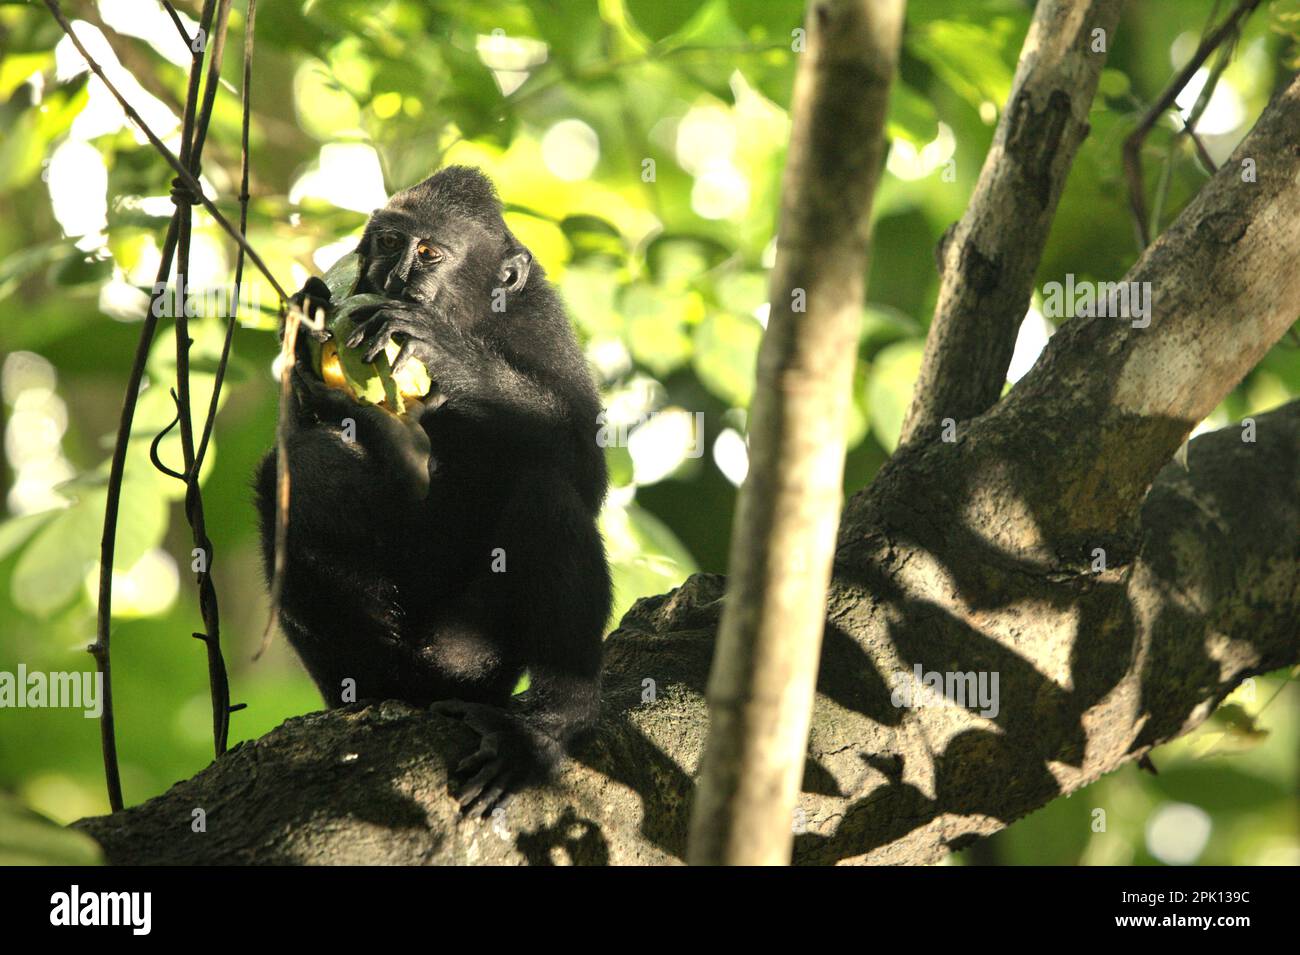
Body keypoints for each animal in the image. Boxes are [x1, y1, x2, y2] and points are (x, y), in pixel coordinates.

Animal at [255, 166, 611, 817]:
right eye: (389, 242)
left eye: (428, 253)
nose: (393, 279)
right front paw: (309, 324)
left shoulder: (541, 322)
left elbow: (582, 464)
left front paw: (438, 349)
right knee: (299, 472)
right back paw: (372, 684)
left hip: (472, 651)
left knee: (545, 491)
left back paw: (545, 726)